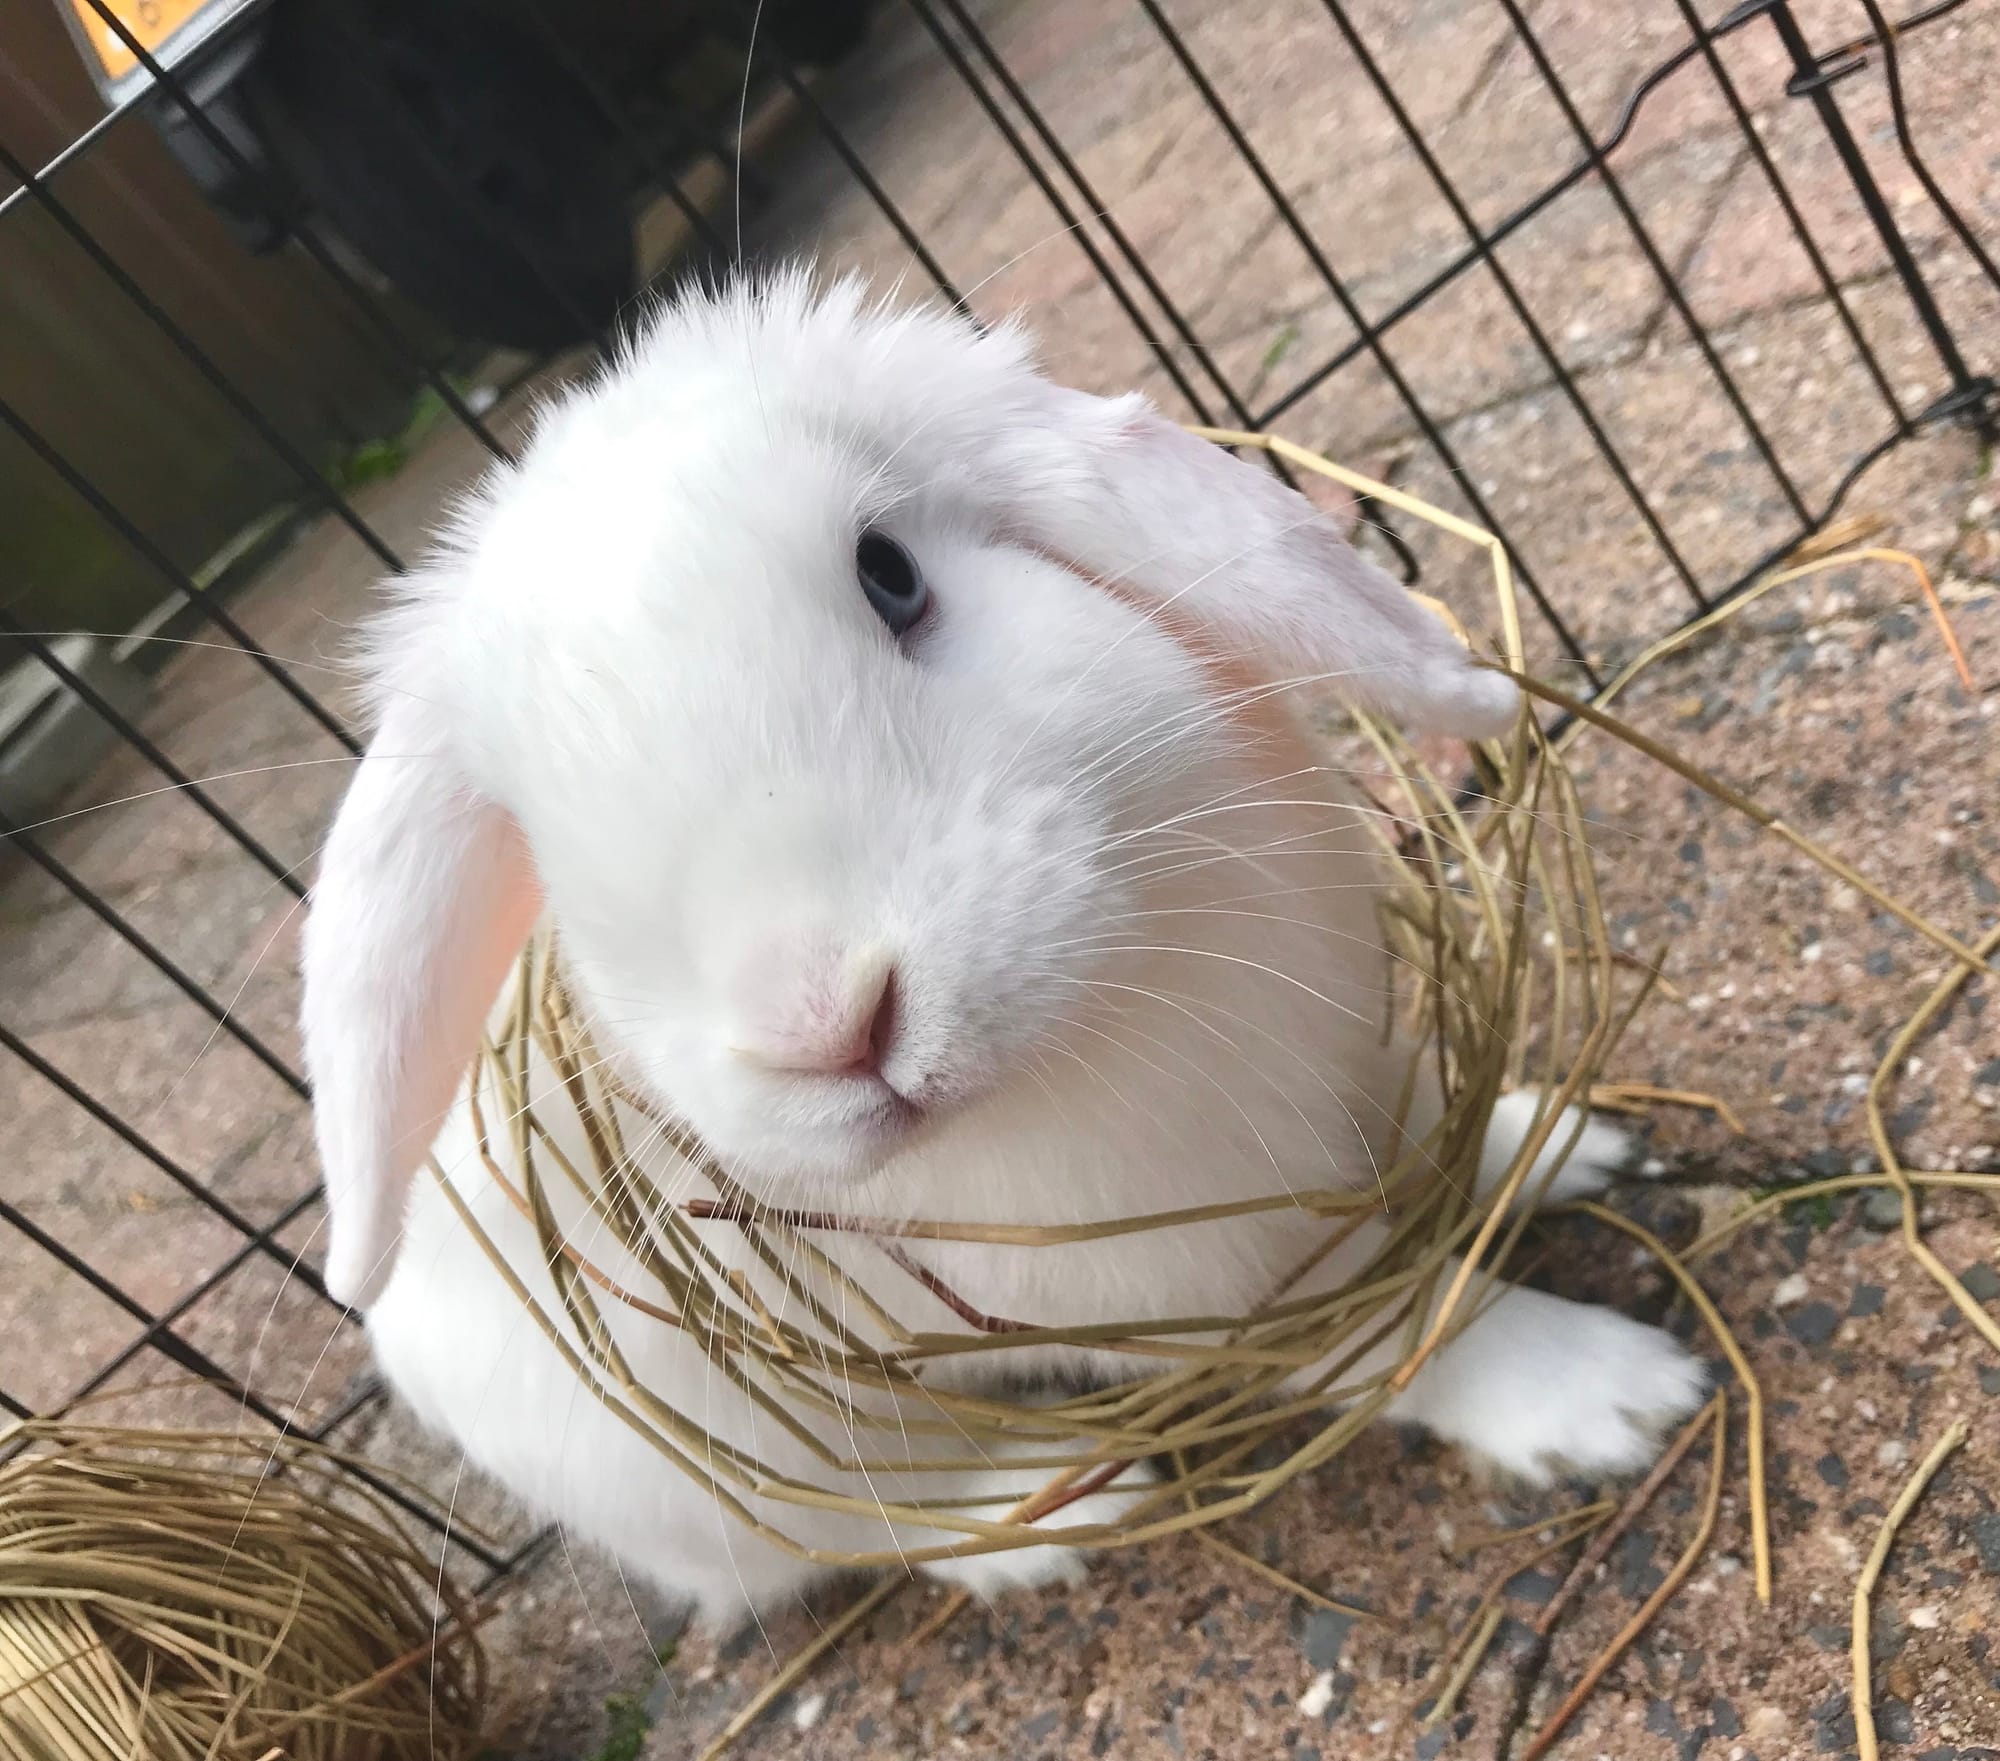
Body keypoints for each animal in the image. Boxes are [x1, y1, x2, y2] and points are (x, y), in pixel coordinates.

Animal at [301, 271, 1705, 1628]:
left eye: (889, 573)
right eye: (537, 829)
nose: (825, 1025)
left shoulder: (1356, 1070)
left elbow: (1420, 1122)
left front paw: (1556, 1141)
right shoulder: (1199, 1282)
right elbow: (1403, 1331)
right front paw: (1612, 1398)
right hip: (726, 1469)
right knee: (874, 1524)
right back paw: (1060, 1516)